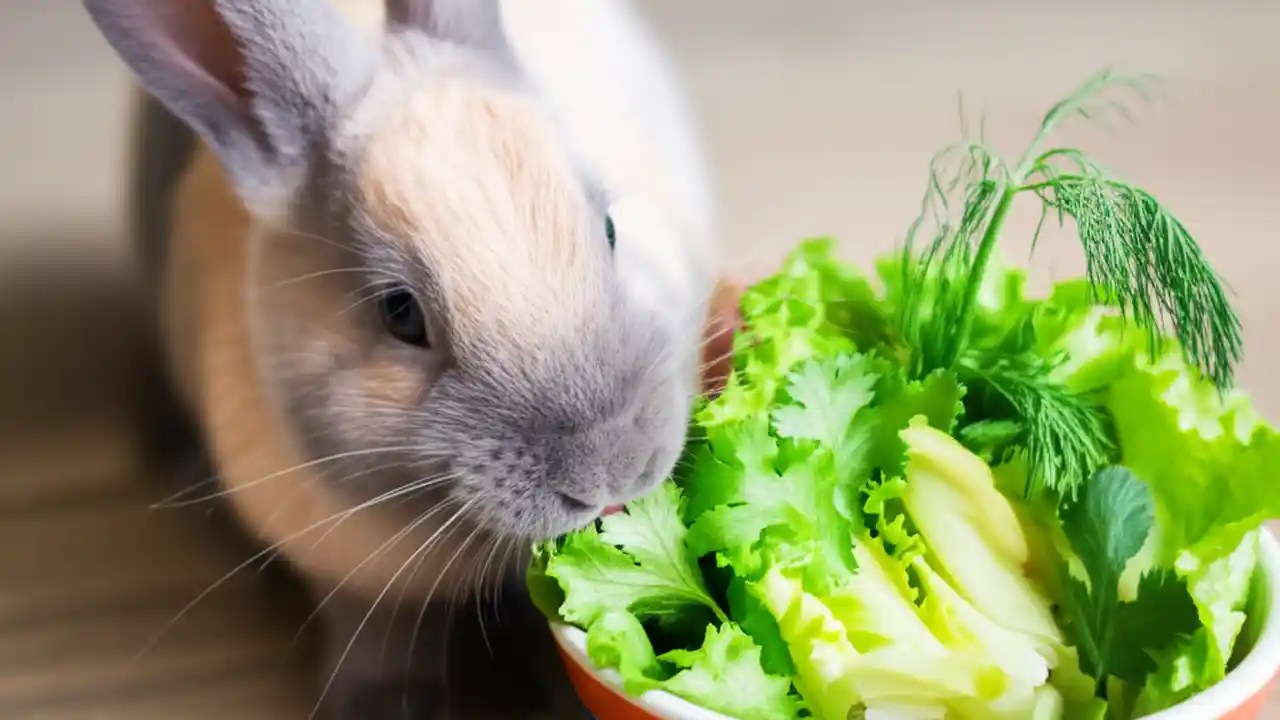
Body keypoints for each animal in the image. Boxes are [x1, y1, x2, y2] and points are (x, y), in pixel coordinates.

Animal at [84, 0, 730, 717]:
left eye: (611, 230)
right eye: (399, 314)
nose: (611, 473)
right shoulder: (351, 575)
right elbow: (377, 636)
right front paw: (382, 706)